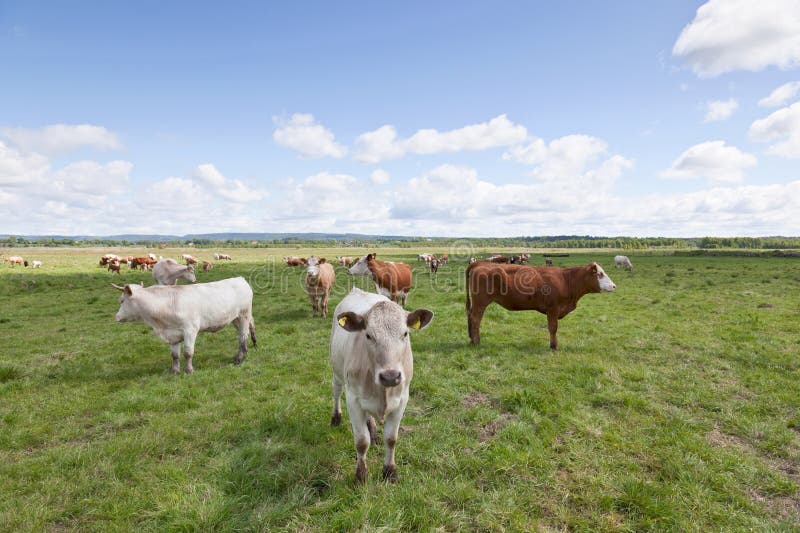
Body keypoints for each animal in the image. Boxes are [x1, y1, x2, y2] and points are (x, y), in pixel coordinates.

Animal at [112, 277, 256, 373]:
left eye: (121, 300)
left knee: (243, 336)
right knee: (242, 334)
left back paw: (239, 358)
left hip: (244, 315)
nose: (117, 317)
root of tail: (240, 279)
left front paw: (189, 370)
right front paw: (175, 371)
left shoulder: (190, 331)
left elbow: (188, 352)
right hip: (235, 319)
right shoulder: (173, 334)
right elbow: (175, 355)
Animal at [330, 287, 434, 483]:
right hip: (337, 372)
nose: (390, 376)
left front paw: (390, 471)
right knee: (336, 392)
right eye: (368, 335)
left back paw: (373, 431)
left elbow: (391, 439)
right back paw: (336, 418)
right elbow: (361, 442)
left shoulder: (402, 400)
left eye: (405, 333)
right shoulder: (353, 400)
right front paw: (361, 476)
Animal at [466, 262, 616, 350]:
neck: (566, 280)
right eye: (600, 274)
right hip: (480, 302)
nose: (614, 286)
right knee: (476, 319)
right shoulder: (553, 308)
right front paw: (554, 346)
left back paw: (472, 339)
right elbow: (553, 328)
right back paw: (476, 341)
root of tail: (479, 263)